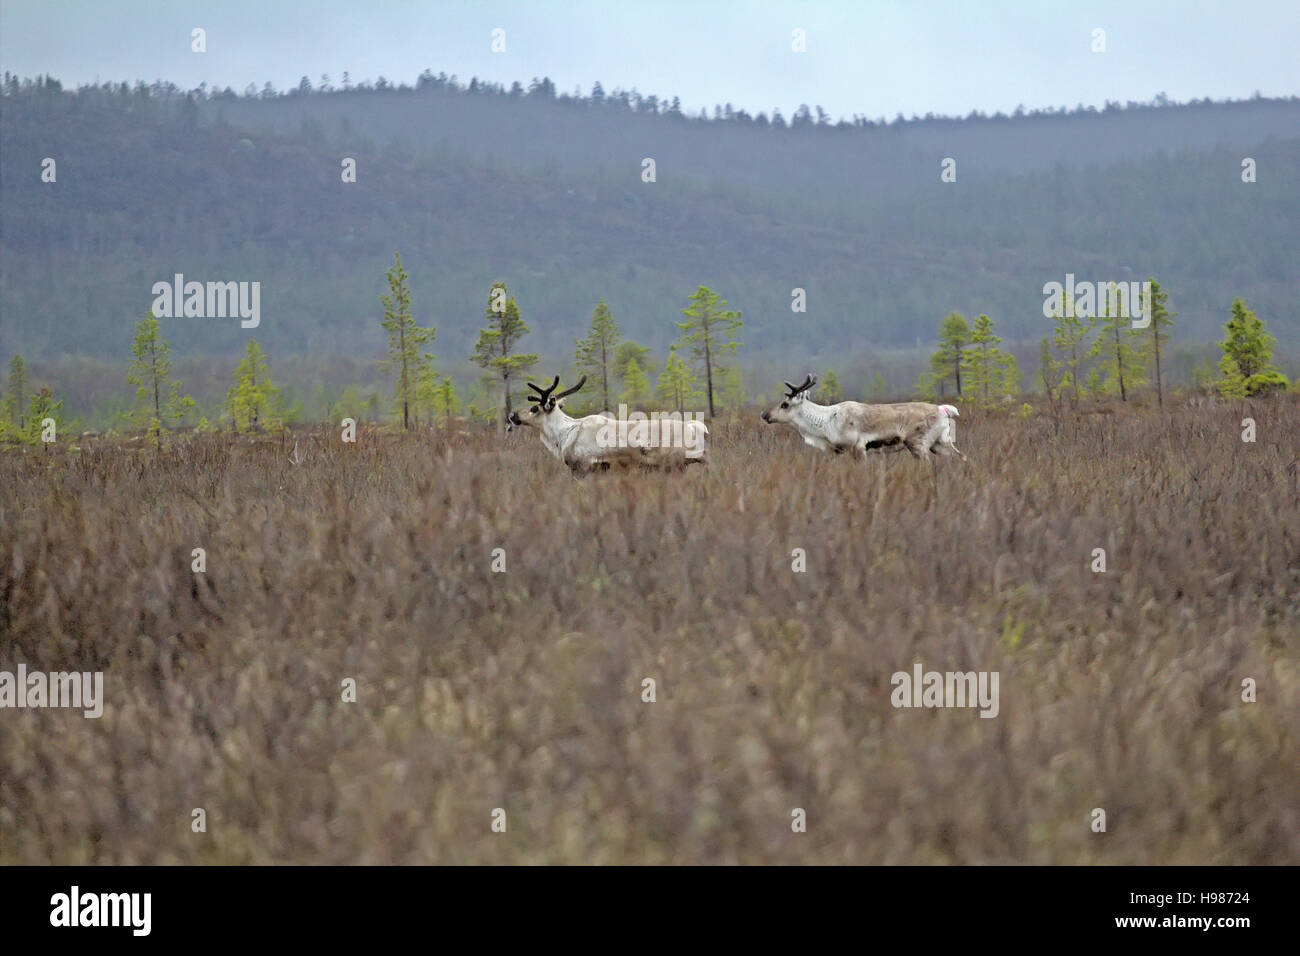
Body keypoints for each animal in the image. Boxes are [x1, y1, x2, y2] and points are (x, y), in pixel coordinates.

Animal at [507, 375, 708, 474]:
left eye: (534, 408)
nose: (512, 415)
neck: (563, 436)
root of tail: (697, 428)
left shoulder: (582, 467)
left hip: (675, 464)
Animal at [761, 373, 966, 461]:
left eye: (784, 404)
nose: (764, 414)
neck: (824, 424)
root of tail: (944, 410)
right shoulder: (838, 451)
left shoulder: (858, 446)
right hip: (941, 442)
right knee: (962, 457)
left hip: (918, 443)